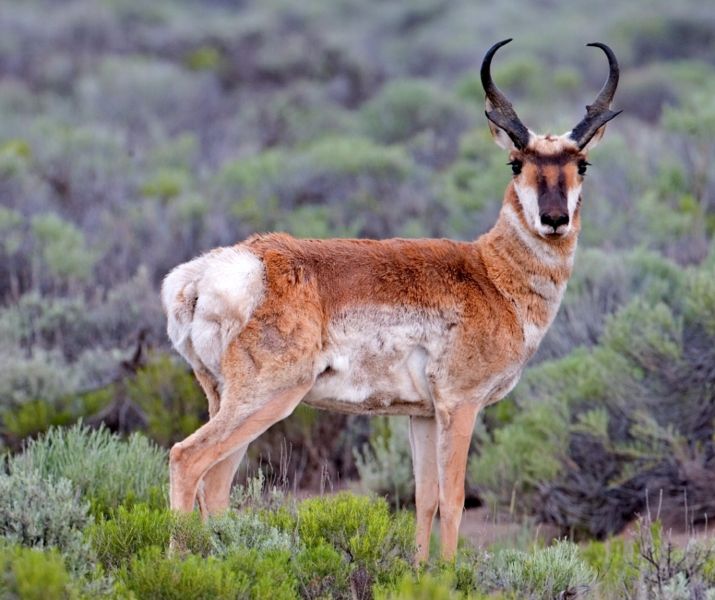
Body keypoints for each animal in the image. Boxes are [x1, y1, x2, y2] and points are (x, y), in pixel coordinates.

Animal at [161, 39, 620, 561]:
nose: (554, 219)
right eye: (516, 163)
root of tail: (213, 272)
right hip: (267, 398)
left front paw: (420, 570)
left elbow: (425, 499)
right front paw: (451, 572)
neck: (490, 273)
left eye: (580, 164)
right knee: (187, 459)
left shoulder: (421, 415)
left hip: (227, 400)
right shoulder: (460, 405)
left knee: (215, 485)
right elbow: (455, 499)